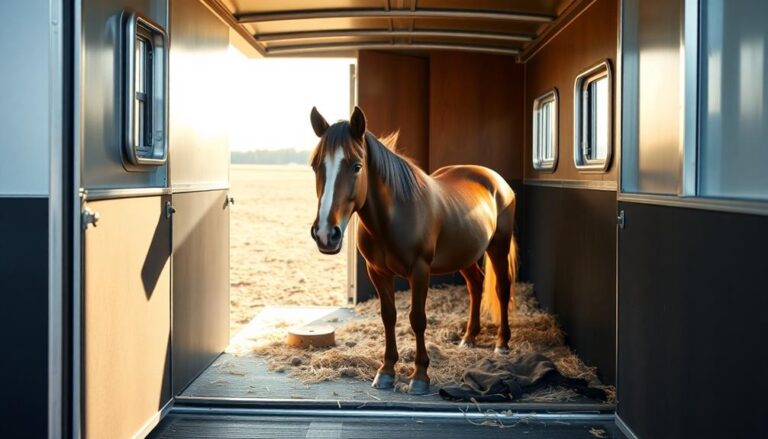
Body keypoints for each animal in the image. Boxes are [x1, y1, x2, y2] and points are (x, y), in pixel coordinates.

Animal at [308, 106, 518, 395]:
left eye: (356, 166)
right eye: (315, 165)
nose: (326, 234)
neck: (395, 215)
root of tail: (496, 180)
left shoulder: (419, 271)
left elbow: (417, 318)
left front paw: (420, 376)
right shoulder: (378, 272)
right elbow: (389, 317)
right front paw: (386, 371)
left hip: (498, 246)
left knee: (501, 288)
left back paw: (502, 343)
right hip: (465, 254)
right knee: (476, 285)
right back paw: (469, 338)